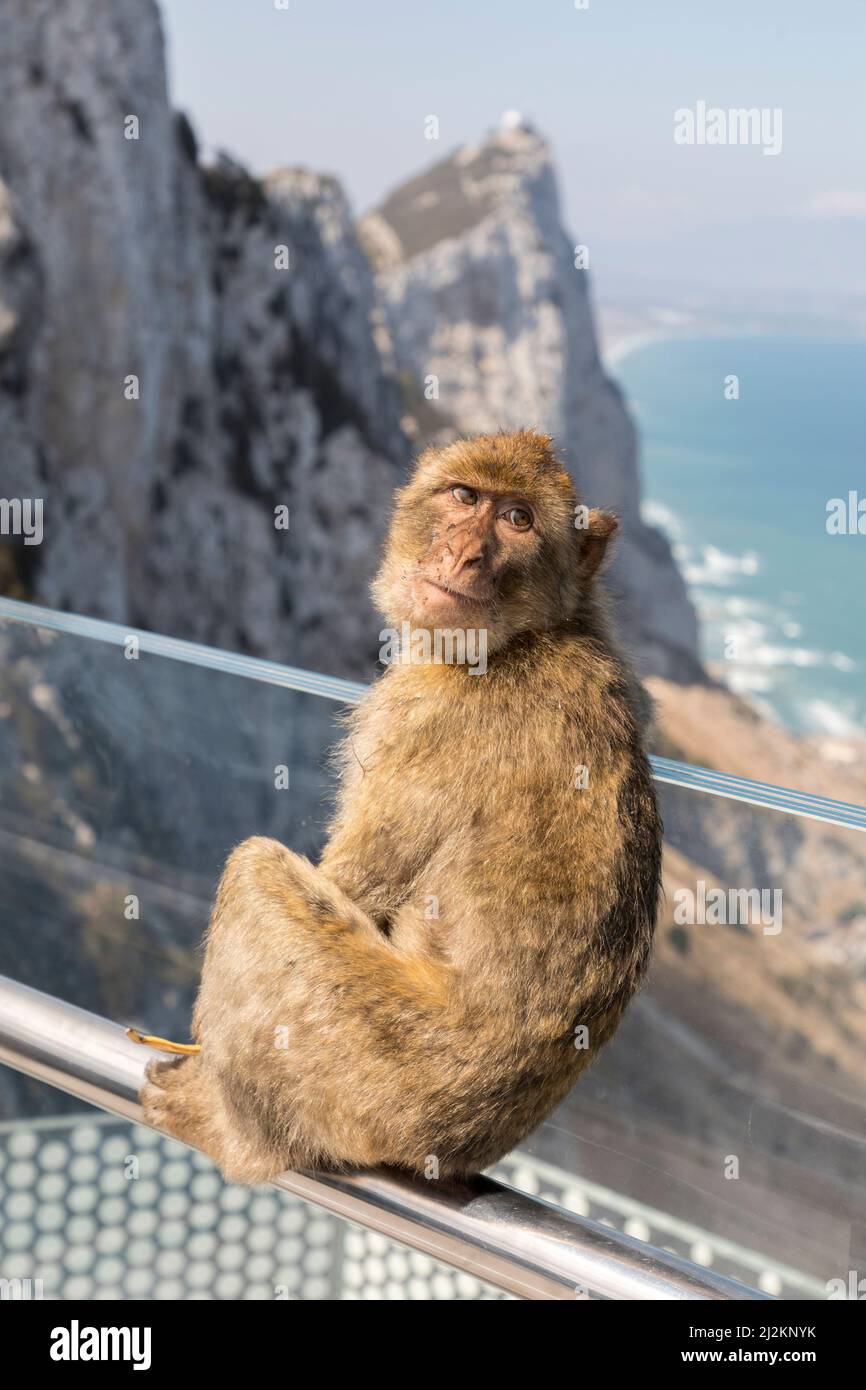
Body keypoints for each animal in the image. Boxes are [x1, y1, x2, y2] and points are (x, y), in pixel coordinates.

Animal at [139, 429, 662, 1185]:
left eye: (518, 520)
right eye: (465, 497)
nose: (464, 553)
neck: (528, 637)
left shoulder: (421, 721)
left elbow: (351, 885)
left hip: (361, 1065)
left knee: (257, 872)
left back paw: (237, 1133)